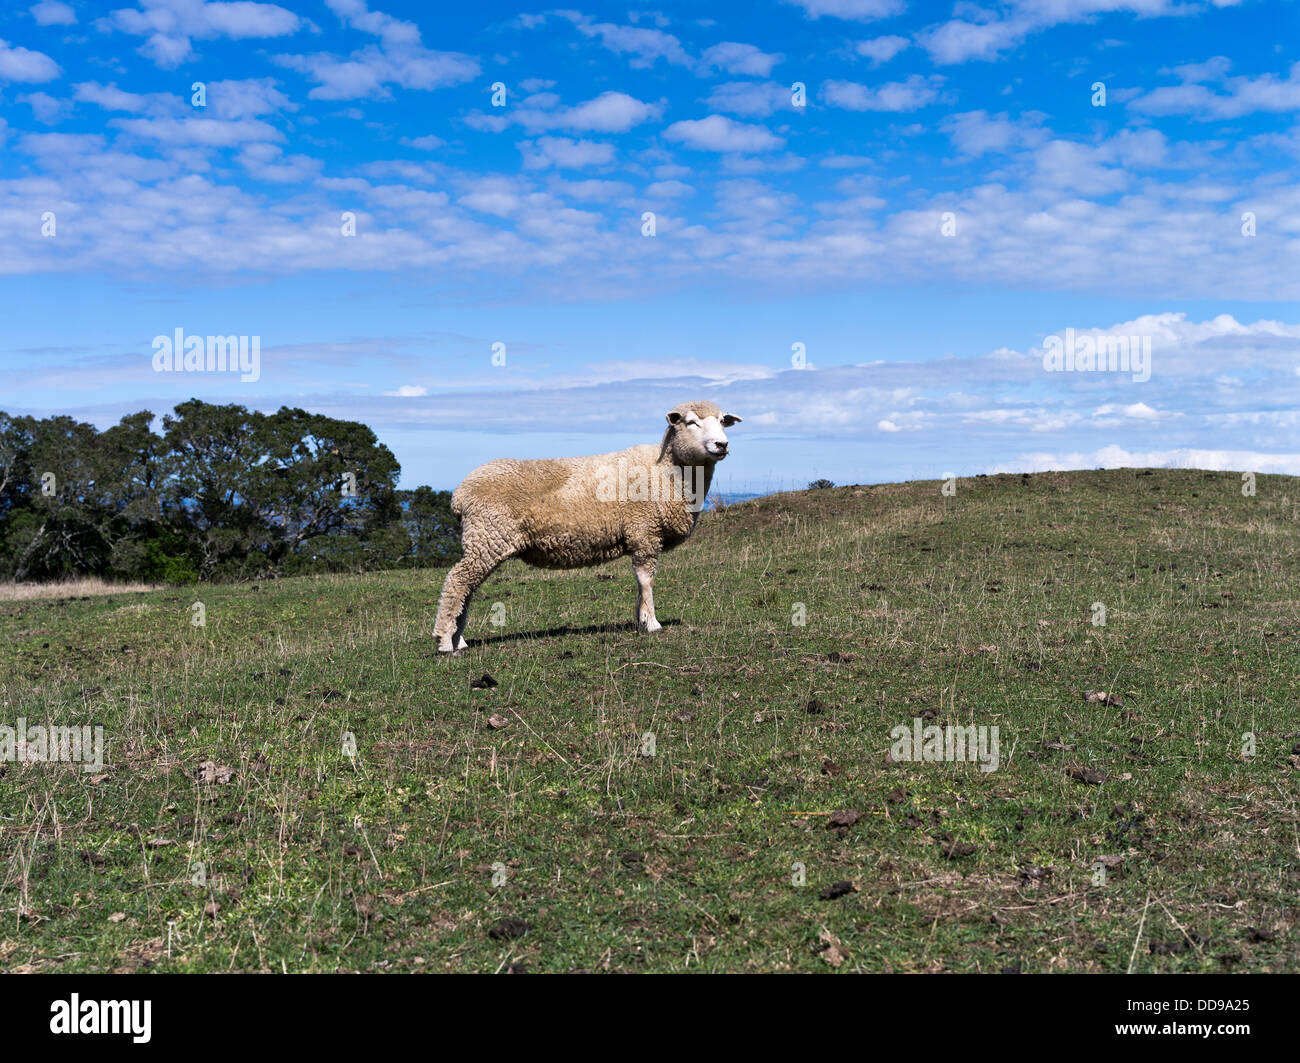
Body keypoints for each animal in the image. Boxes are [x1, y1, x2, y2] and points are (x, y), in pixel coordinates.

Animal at [433, 400, 742, 652]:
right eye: (691, 422)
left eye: (722, 420)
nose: (722, 445)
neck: (667, 472)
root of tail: (460, 494)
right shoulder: (645, 531)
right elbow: (647, 580)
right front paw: (652, 623)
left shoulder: (640, 535)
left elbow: (639, 583)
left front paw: (639, 619)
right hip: (488, 535)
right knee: (457, 581)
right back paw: (445, 641)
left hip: (485, 539)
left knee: (467, 588)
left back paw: (459, 639)